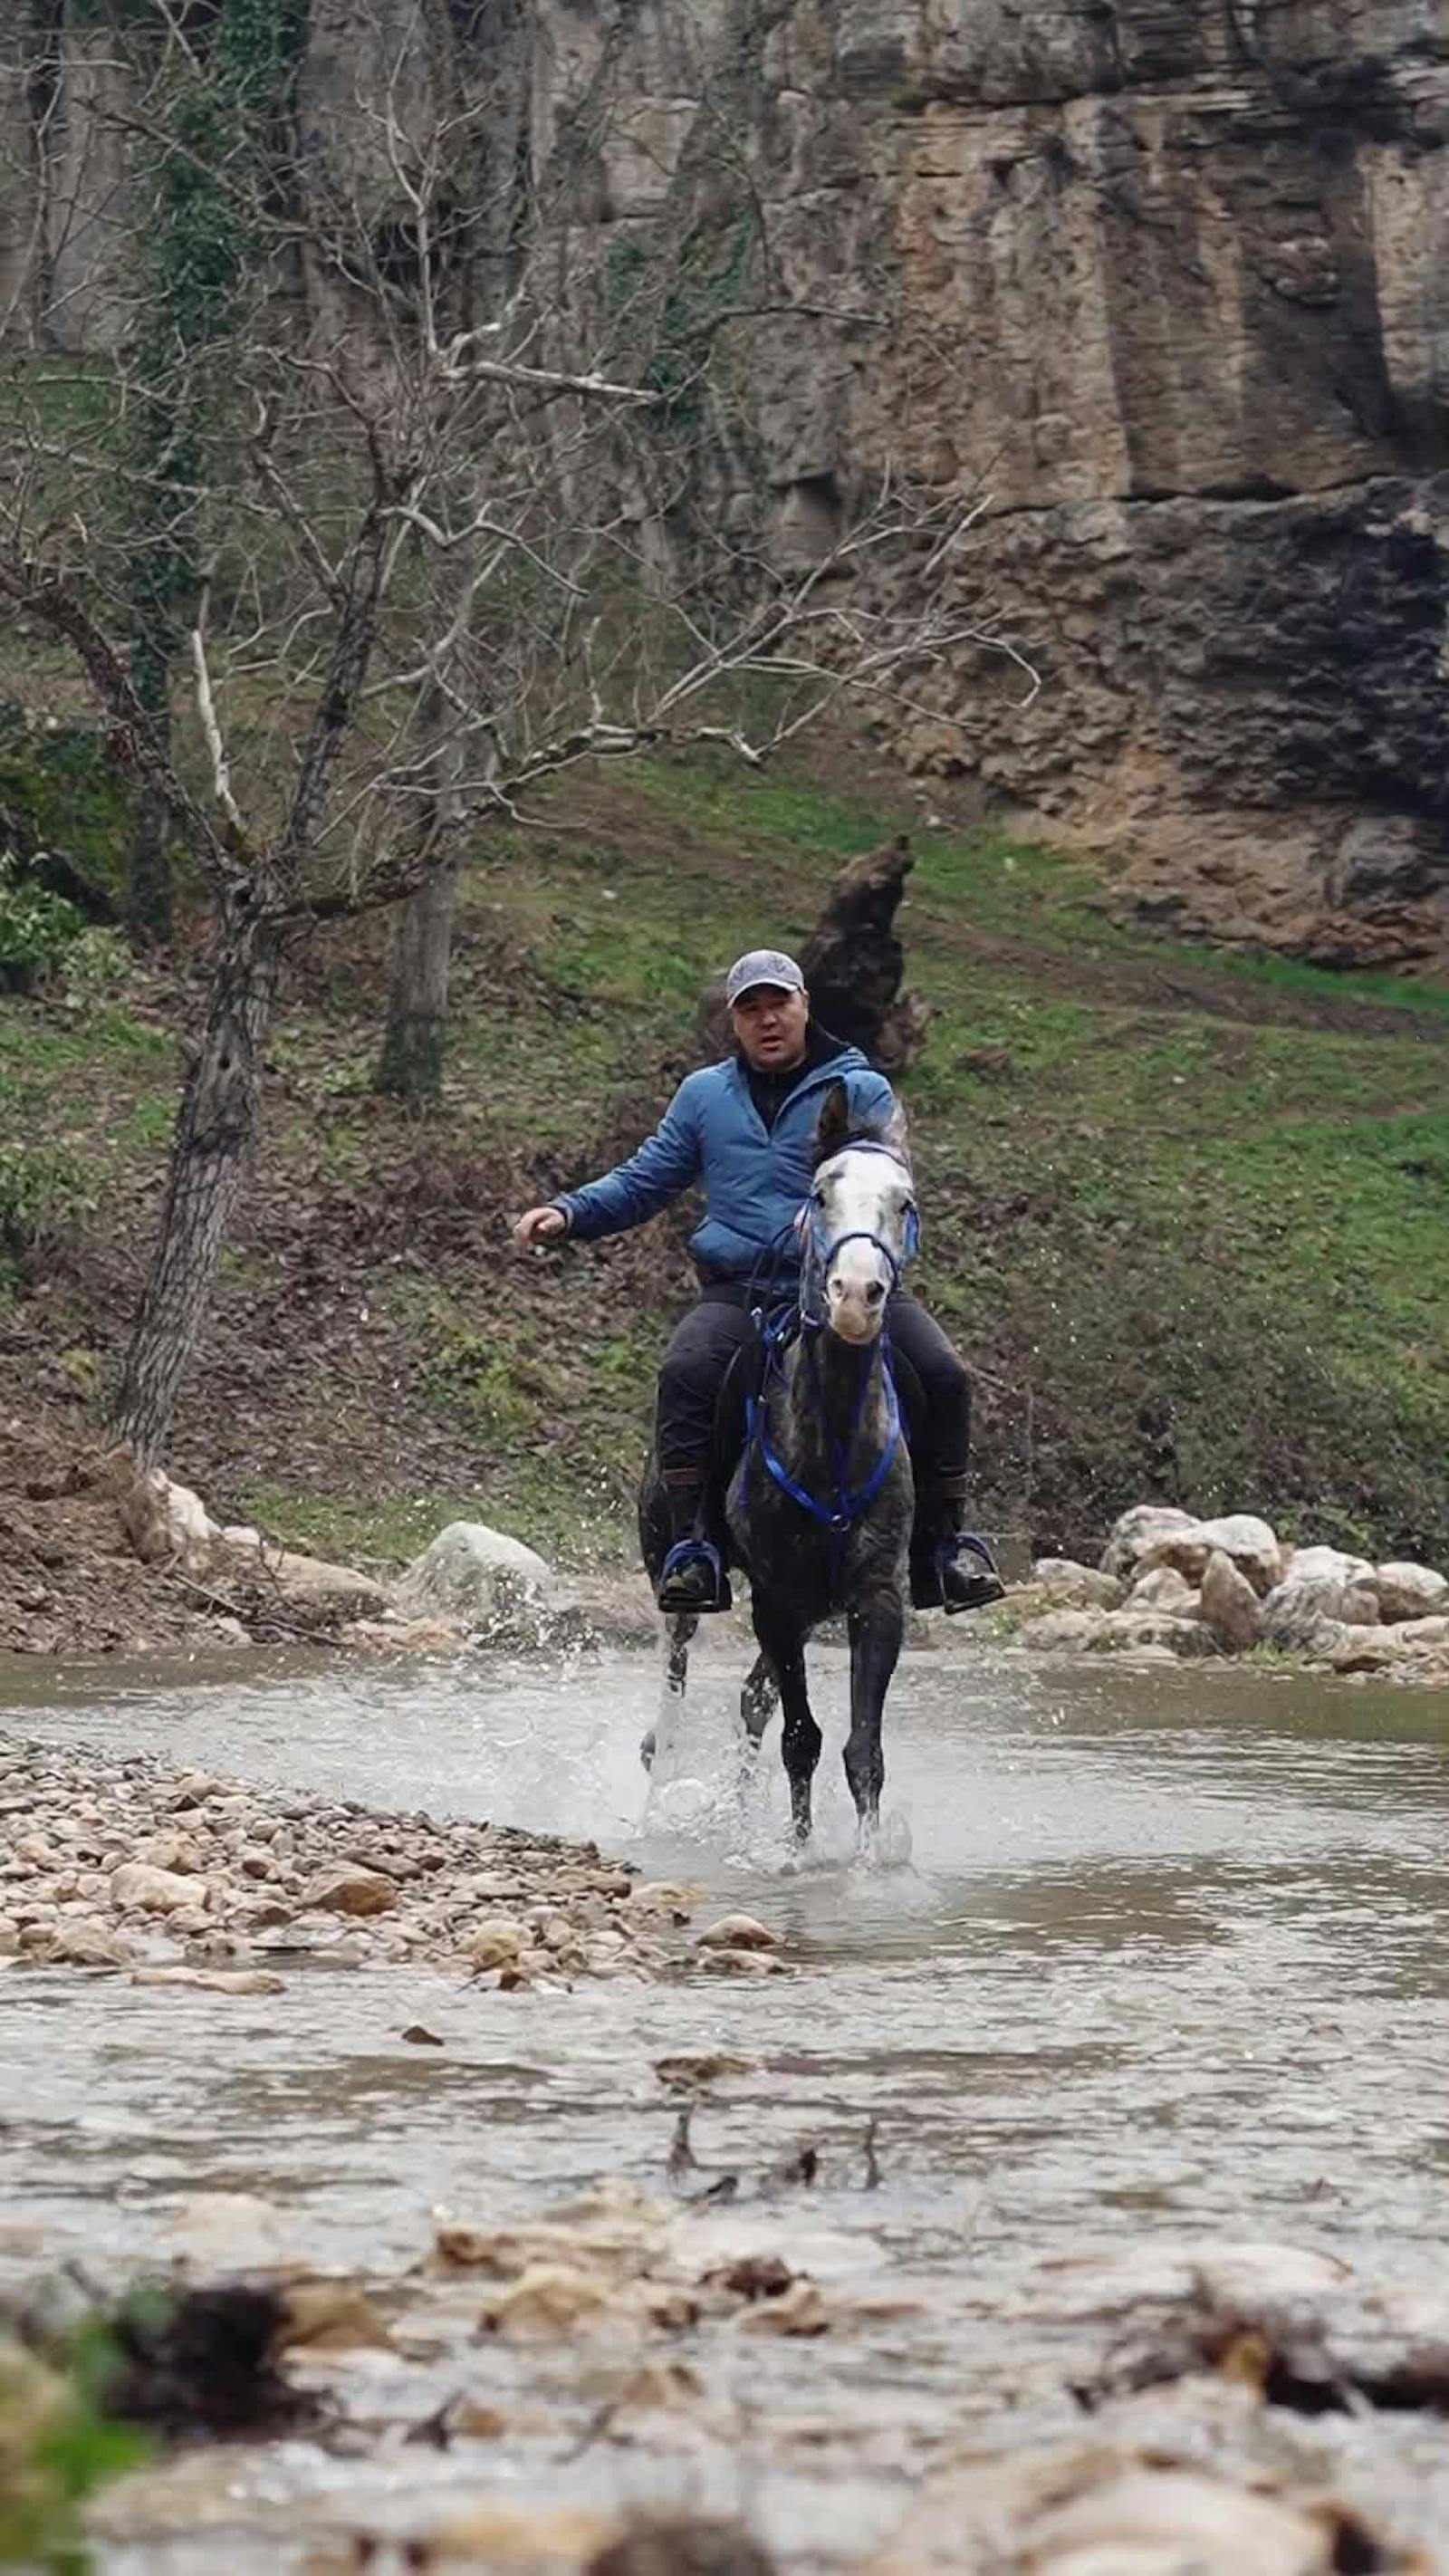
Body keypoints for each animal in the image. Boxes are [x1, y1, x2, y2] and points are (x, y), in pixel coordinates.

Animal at [639, 1077, 917, 1844]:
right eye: (820, 1192)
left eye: (903, 1202)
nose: (855, 1295)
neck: (835, 1443)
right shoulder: (777, 1599)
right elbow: (802, 1740)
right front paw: (794, 1855)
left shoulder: (874, 1600)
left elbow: (862, 1752)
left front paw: (866, 1861)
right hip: (678, 1577)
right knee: (671, 1704)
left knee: (752, 1699)